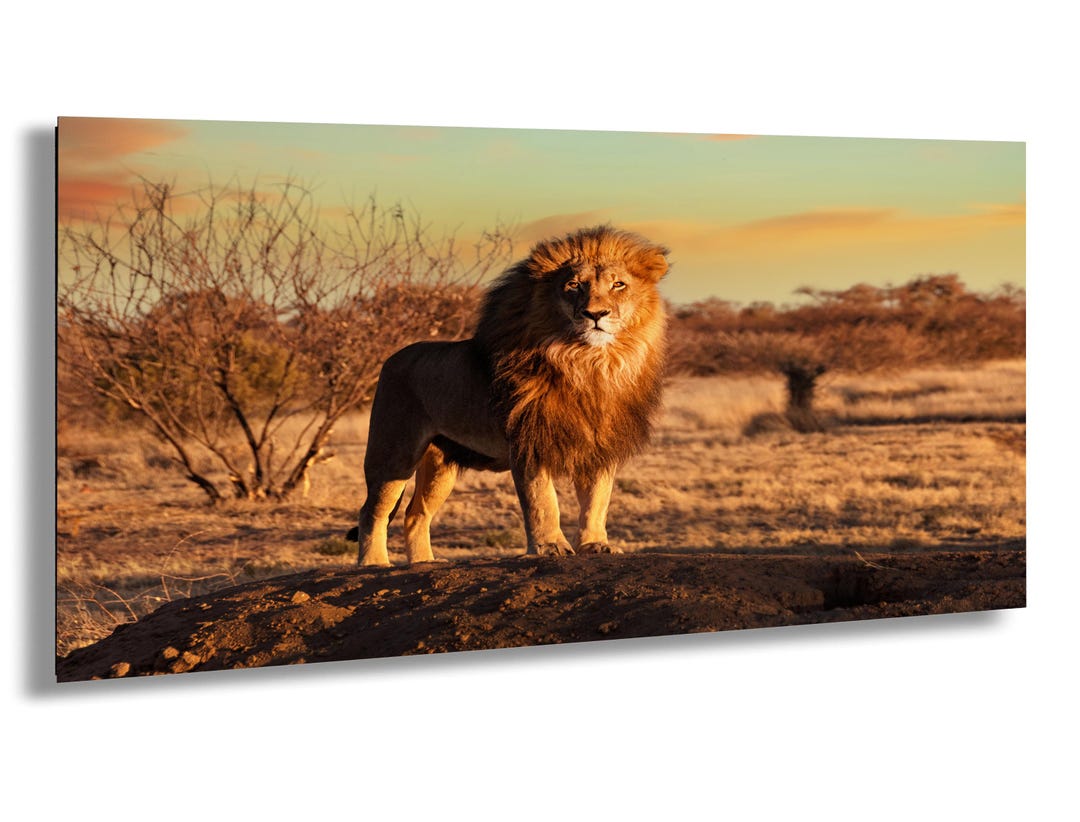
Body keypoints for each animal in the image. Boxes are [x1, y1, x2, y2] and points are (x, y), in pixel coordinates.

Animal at [352, 225, 669, 566]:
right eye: (573, 285)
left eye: (618, 284)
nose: (595, 314)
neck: (589, 364)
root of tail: (392, 358)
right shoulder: (528, 441)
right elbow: (542, 501)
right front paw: (550, 547)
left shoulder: (599, 444)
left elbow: (597, 501)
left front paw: (596, 545)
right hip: (393, 452)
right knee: (373, 511)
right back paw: (374, 563)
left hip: (440, 463)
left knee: (415, 514)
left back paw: (425, 563)